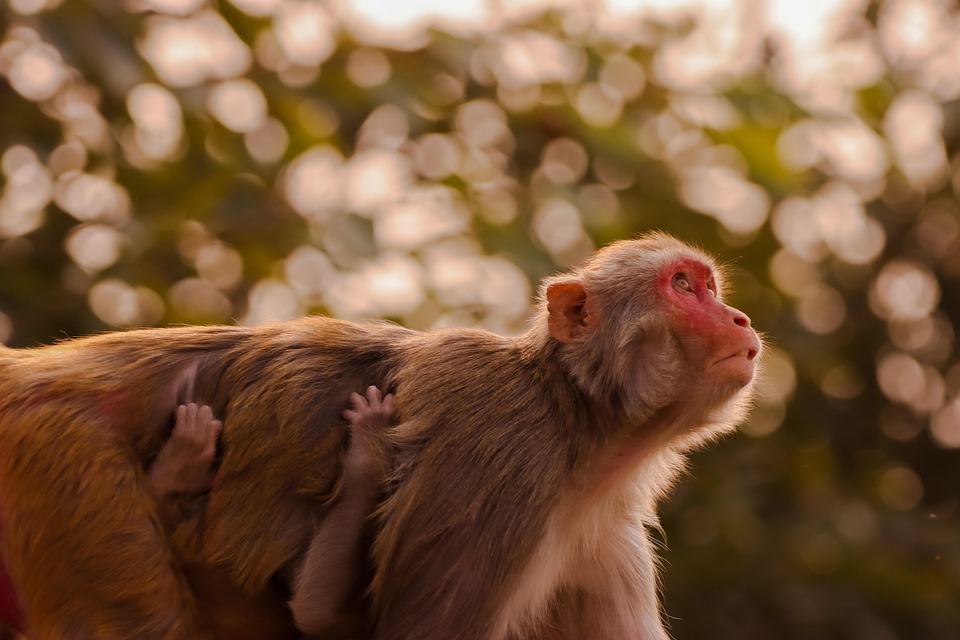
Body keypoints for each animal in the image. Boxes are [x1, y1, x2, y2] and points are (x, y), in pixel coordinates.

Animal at [0, 232, 761, 639]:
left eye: (709, 286)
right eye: (683, 285)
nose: (742, 319)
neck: (581, 429)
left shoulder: (607, 540)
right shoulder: (502, 460)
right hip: (63, 465)